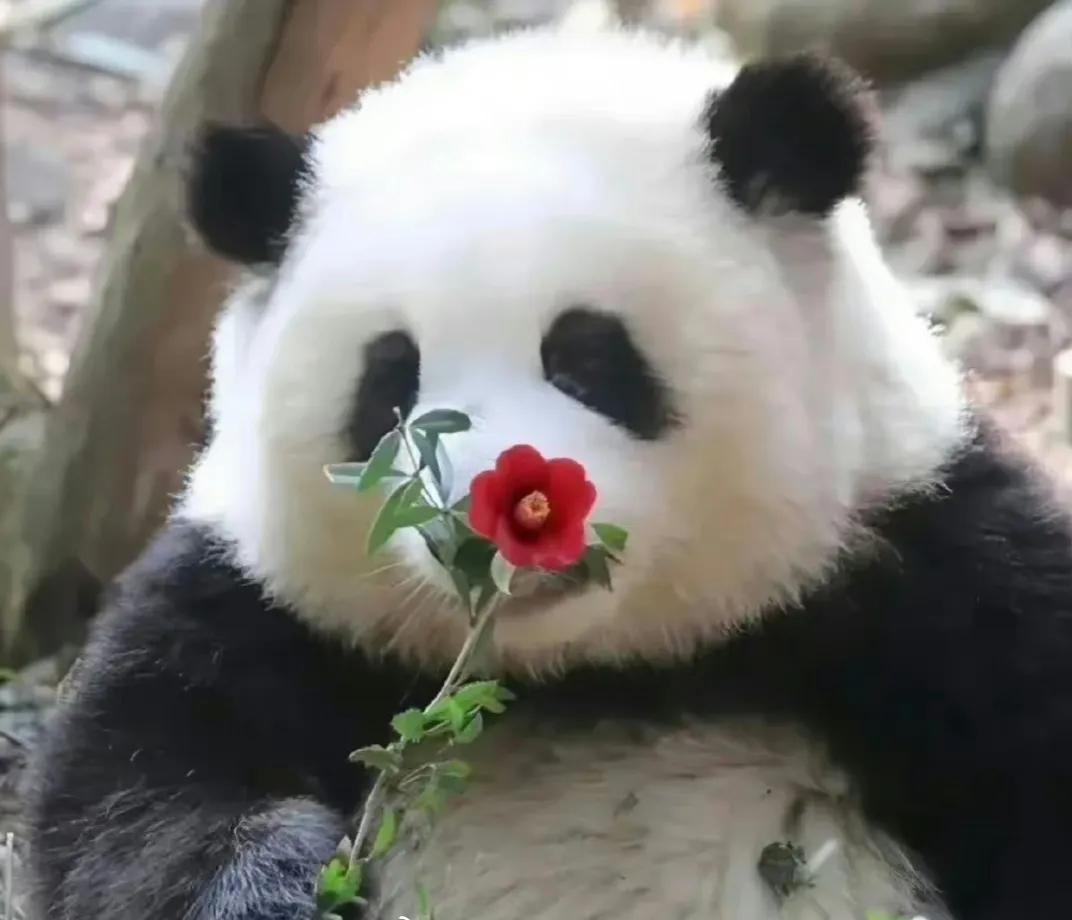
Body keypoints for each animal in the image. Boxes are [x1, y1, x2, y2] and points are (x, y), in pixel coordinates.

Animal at [23, 24, 1072, 920]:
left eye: (587, 356)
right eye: (390, 382)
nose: (489, 519)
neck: (587, 672)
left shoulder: (920, 570)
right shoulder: (258, 600)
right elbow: (131, 783)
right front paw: (268, 888)